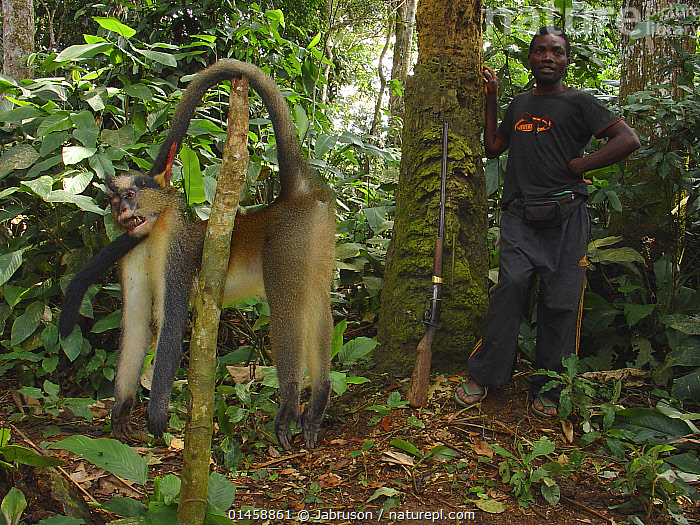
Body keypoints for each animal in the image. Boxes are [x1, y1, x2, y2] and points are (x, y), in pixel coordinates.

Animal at [59, 60, 336, 451]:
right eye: (114, 203)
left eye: (129, 197)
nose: (123, 214)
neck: (153, 234)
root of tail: (292, 197)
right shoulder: (132, 254)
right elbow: (136, 323)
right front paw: (121, 412)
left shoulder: (174, 252)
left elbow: (171, 323)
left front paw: (156, 417)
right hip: (316, 239)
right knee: (316, 303)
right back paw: (319, 398)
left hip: (289, 243)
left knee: (288, 307)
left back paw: (290, 401)